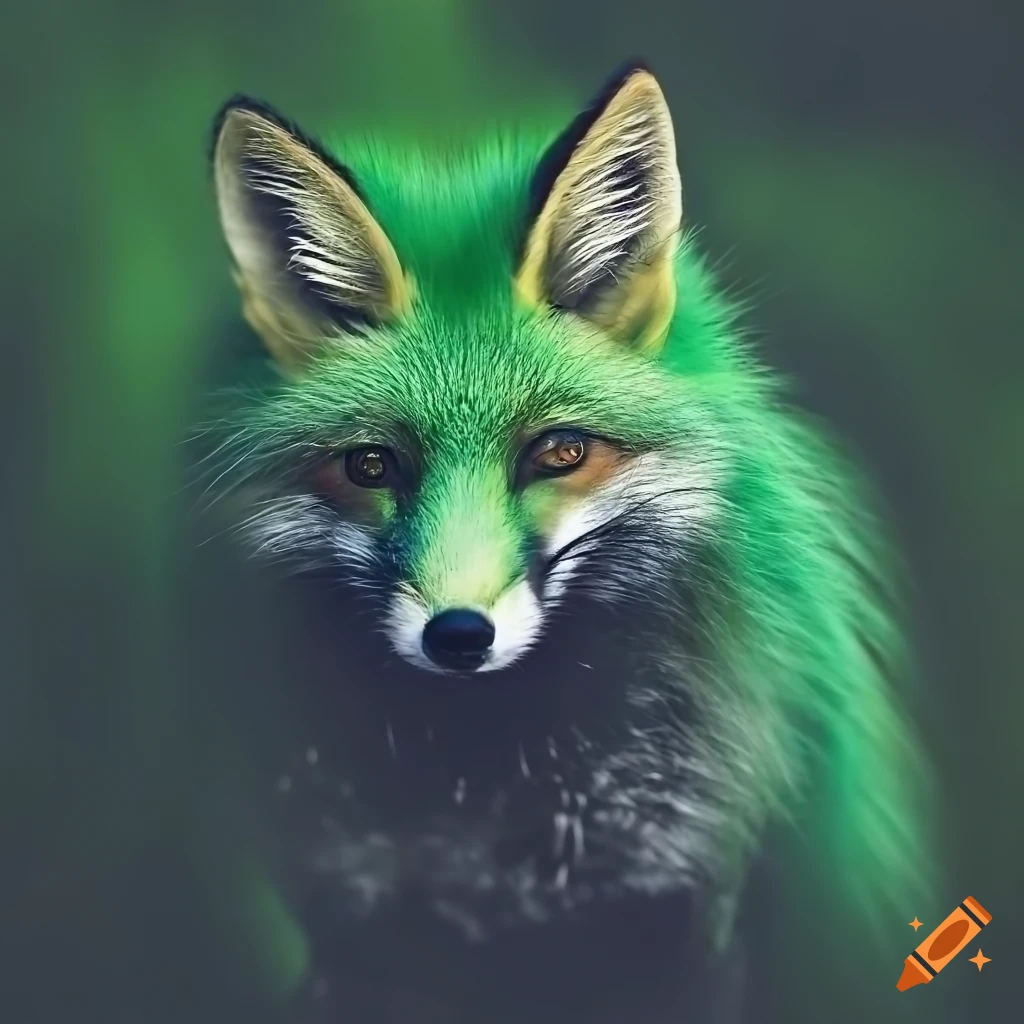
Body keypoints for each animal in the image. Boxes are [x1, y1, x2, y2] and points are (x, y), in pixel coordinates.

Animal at [201, 62, 935, 1023]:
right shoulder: (361, 924)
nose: (459, 636)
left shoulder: (680, 910)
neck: (485, 796)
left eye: (558, 453)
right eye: (370, 466)